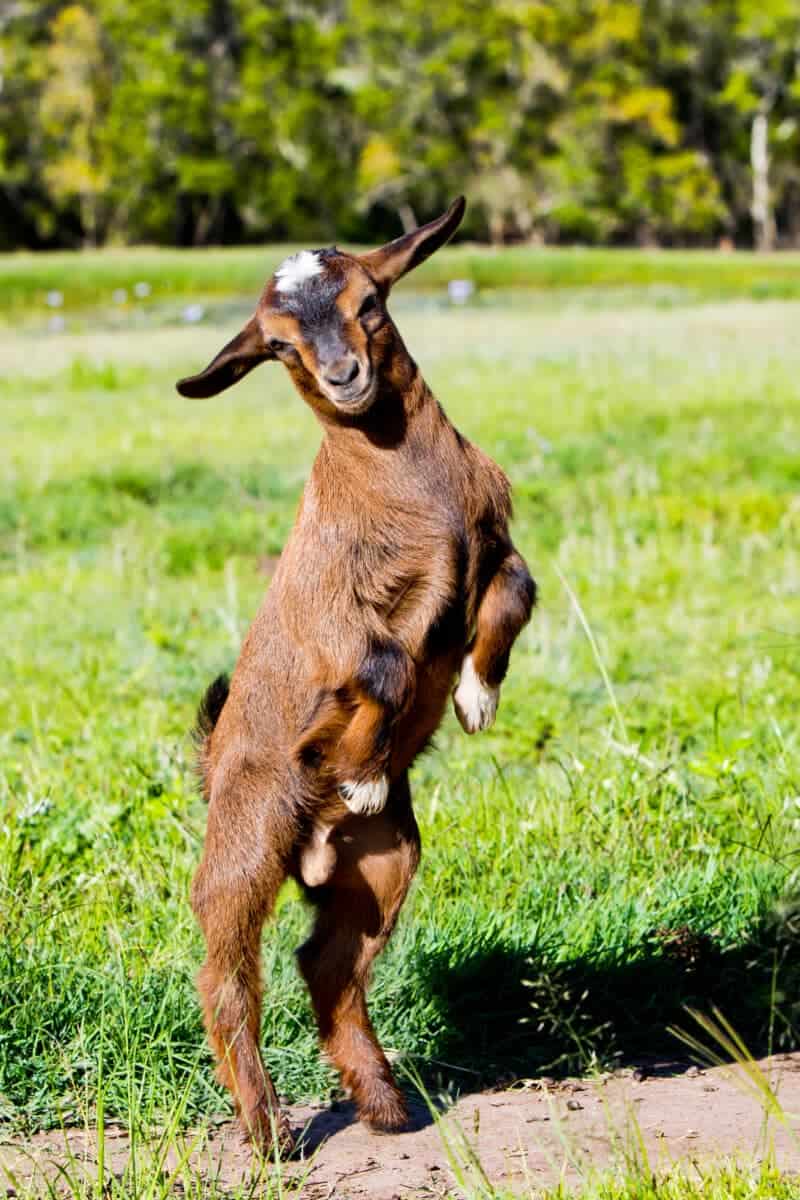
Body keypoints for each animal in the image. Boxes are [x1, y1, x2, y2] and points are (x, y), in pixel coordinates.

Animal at [175, 197, 535, 1155]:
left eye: (370, 302)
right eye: (278, 346)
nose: (343, 376)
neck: (413, 493)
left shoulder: (493, 544)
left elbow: (514, 596)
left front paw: (477, 697)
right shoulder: (343, 617)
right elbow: (382, 665)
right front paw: (367, 766)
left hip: (382, 862)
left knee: (325, 962)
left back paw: (383, 1106)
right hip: (250, 824)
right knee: (227, 965)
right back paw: (267, 1132)